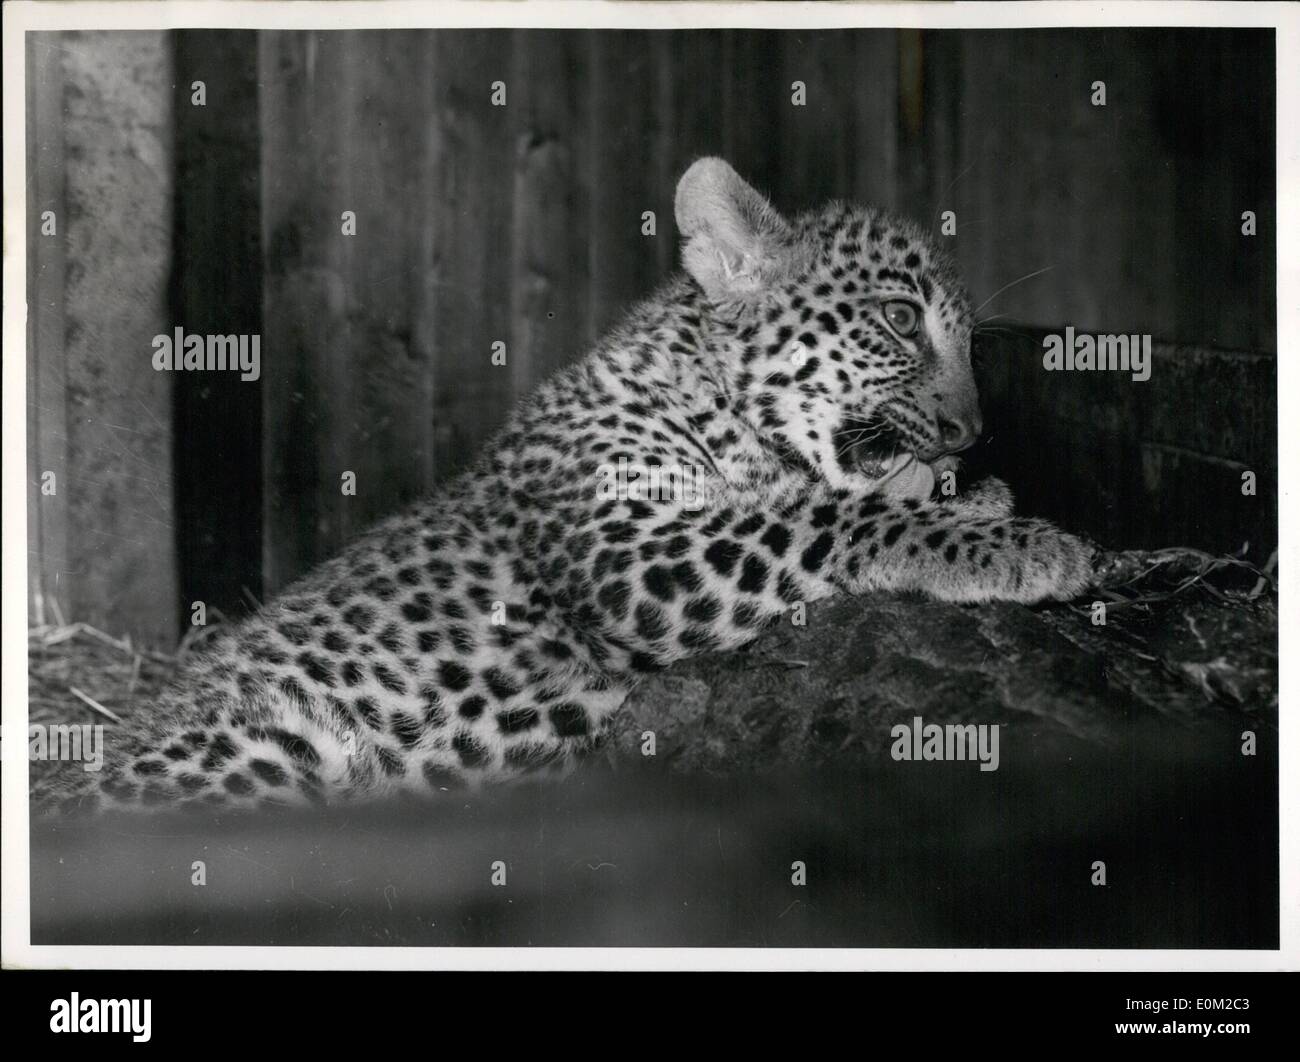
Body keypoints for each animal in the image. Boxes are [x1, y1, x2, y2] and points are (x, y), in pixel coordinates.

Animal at [36, 157, 1099, 814]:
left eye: (972, 346)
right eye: (897, 320)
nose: (973, 432)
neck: (709, 395)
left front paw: (979, 497)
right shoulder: (630, 552)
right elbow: (819, 515)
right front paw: (1021, 545)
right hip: (272, 749)